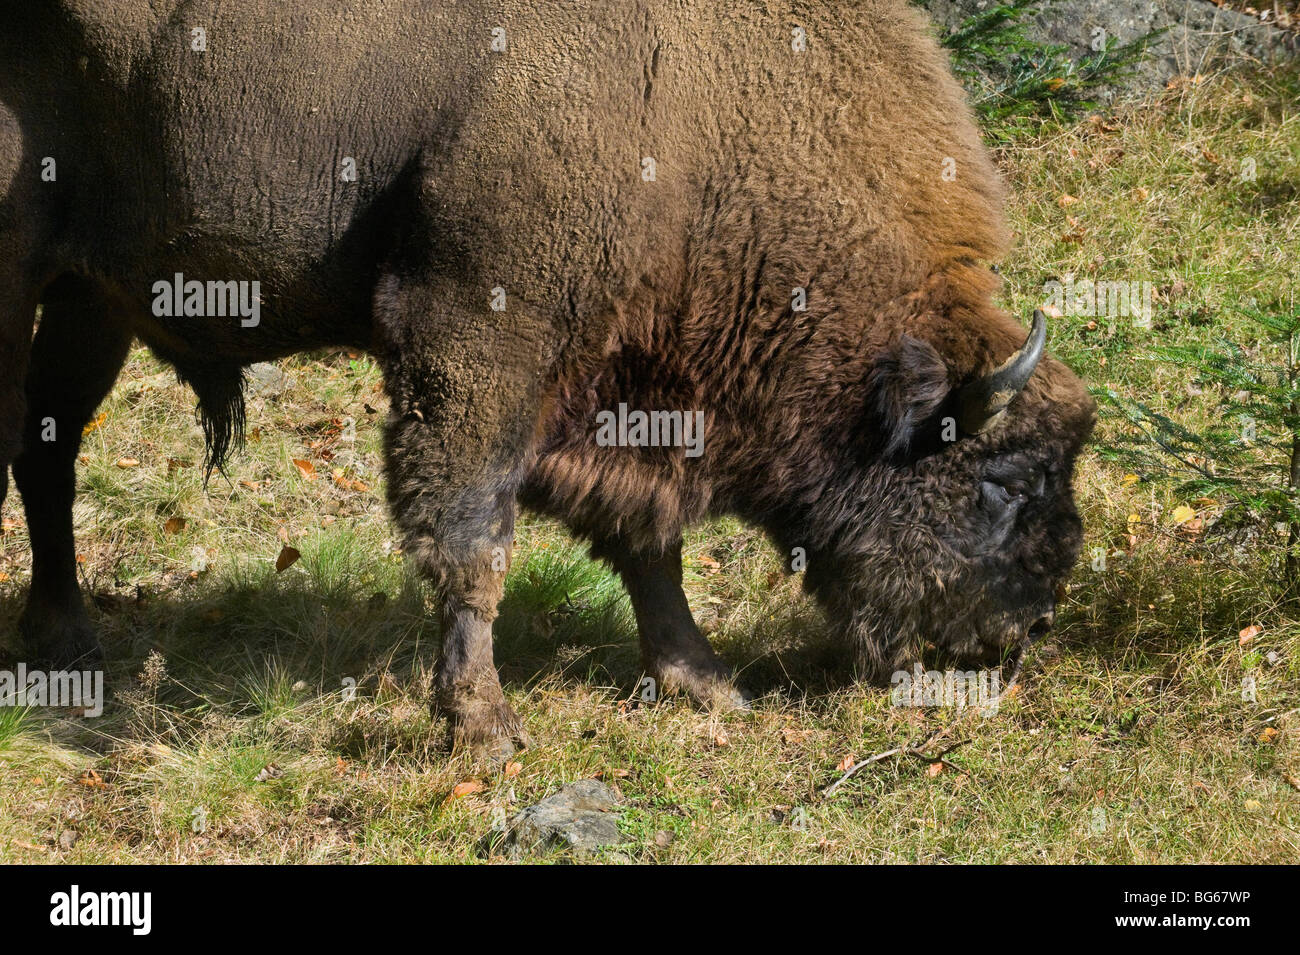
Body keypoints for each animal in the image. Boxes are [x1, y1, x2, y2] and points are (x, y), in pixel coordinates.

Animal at [0, 1, 1094, 758]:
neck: (702, 118)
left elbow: (648, 542)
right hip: (24, 275)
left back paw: (66, 637)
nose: (1027, 626)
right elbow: (472, 537)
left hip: (93, 298)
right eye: (1003, 480)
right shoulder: (476, 343)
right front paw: (485, 729)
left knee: (48, 448)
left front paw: (703, 680)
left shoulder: (625, 390)